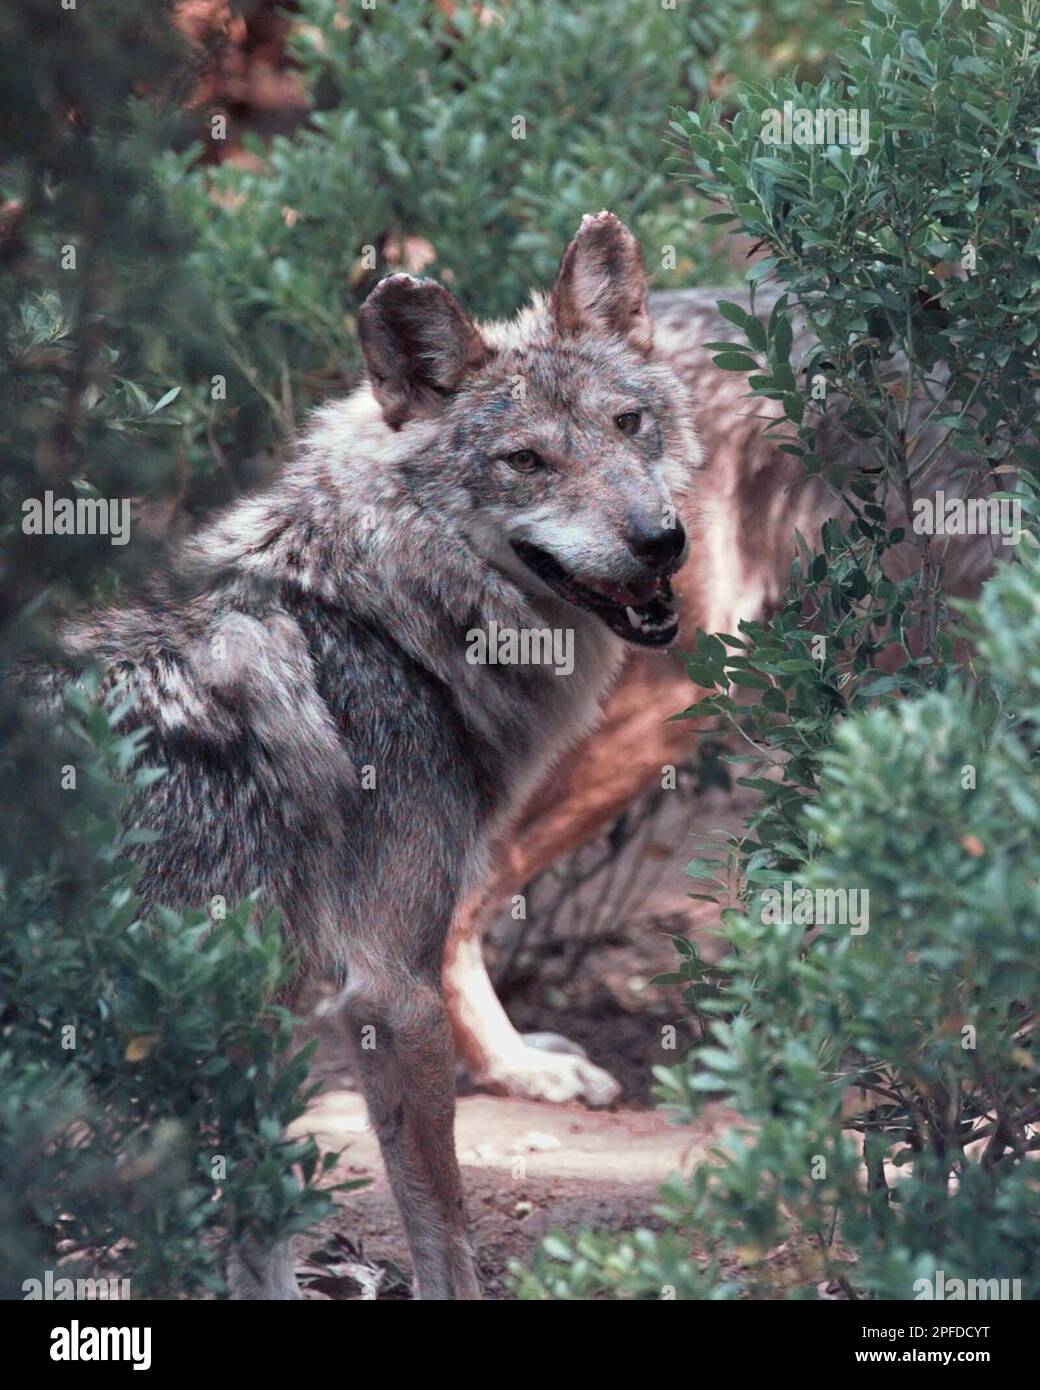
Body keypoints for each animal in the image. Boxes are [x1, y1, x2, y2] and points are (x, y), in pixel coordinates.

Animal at [52, 212, 703, 1299]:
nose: (661, 541)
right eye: (527, 461)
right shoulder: (388, 992)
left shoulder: (258, 1013)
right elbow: (443, 1232)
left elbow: (256, 1242)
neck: (383, 624)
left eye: (628, 425)